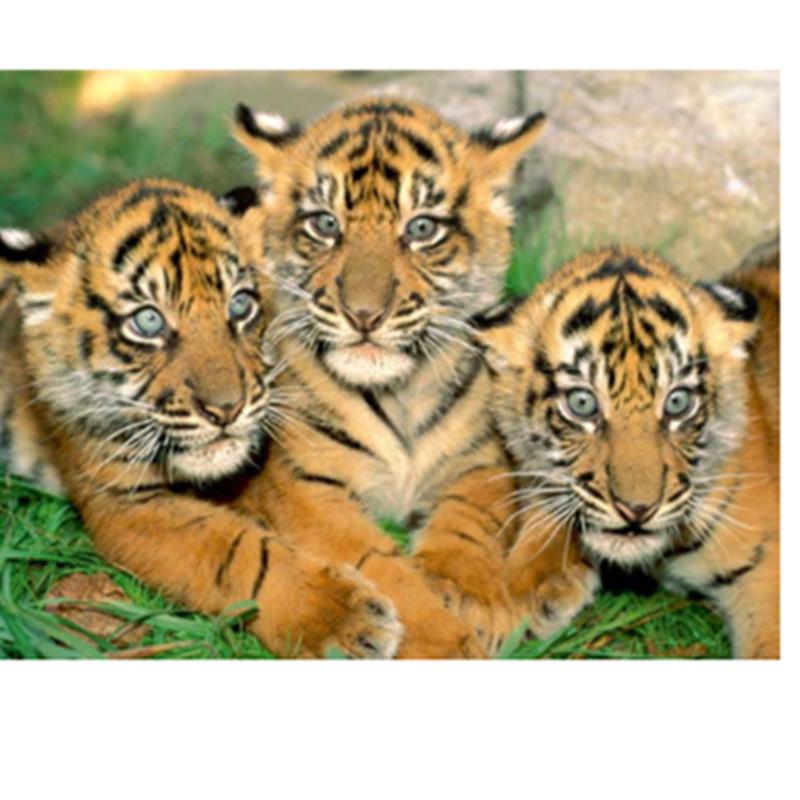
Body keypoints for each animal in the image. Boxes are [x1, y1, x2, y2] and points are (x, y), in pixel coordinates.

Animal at [0, 178, 404, 659]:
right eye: (148, 321)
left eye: (240, 306)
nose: (225, 408)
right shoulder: (123, 503)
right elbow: (237, 553)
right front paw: (343, 619)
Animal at [227, 97, 548, 656]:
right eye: (325, 224)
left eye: (421, 229)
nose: (363, 314)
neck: (400, 393)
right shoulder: (305, 485)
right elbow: (379, 565)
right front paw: (446, 643)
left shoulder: (481, 461)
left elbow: (469, 523)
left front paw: (472, 595)